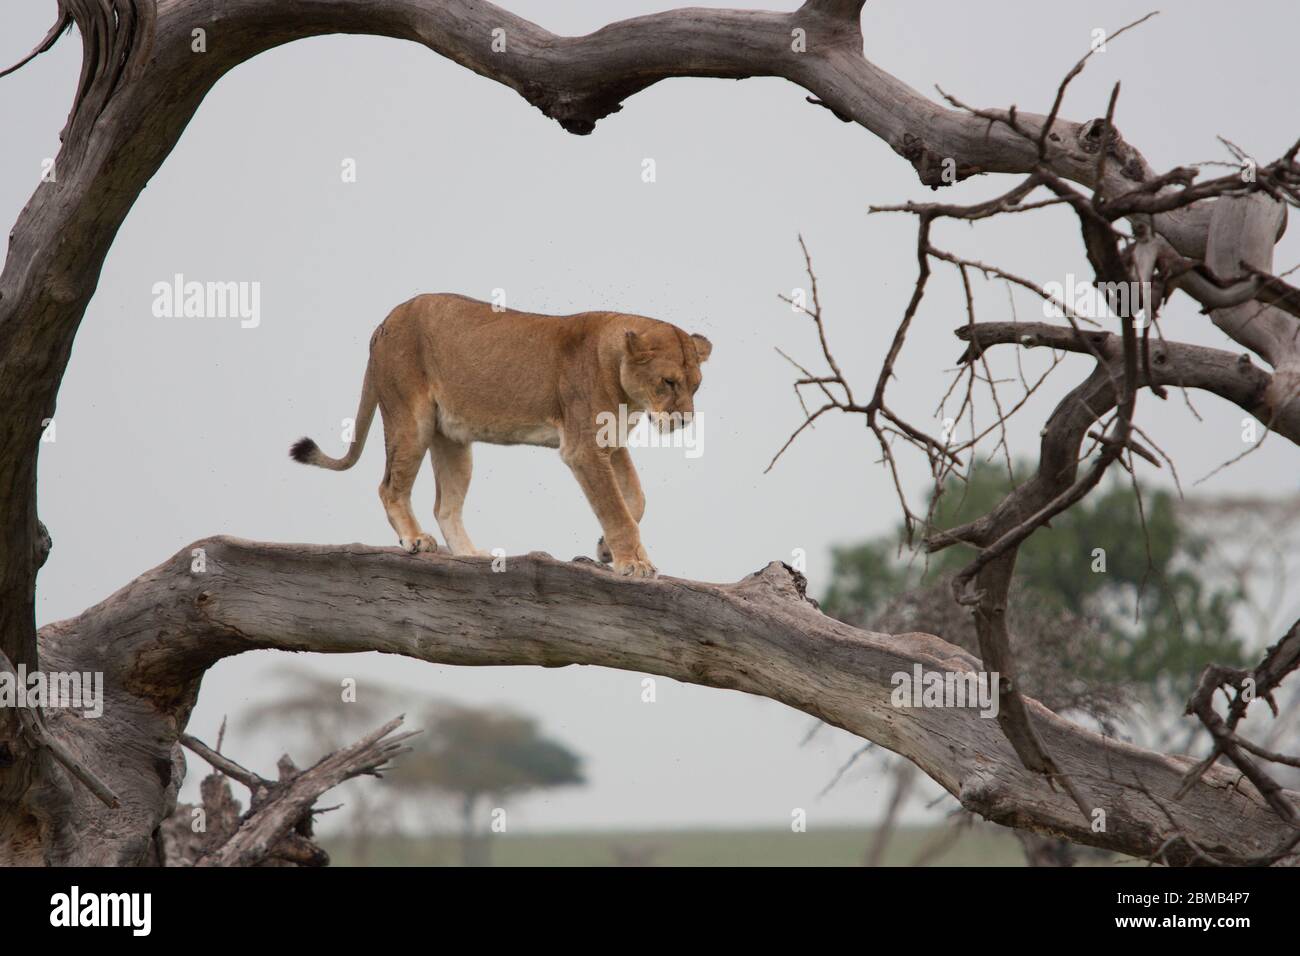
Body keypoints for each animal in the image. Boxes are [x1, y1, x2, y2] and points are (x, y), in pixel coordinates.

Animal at [289, 293, 711, 577]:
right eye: (668, 382)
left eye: (696, 386)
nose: (685, 421)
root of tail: (385, 321)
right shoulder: (584, 449)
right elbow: (616, 509)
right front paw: (633, 563)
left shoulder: (612, 443)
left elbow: (635, 499)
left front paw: (605, 550)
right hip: (411, 419)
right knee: (390, 487)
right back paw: (415, 539)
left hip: (453, 440)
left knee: (445, 506)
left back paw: (471, 555)